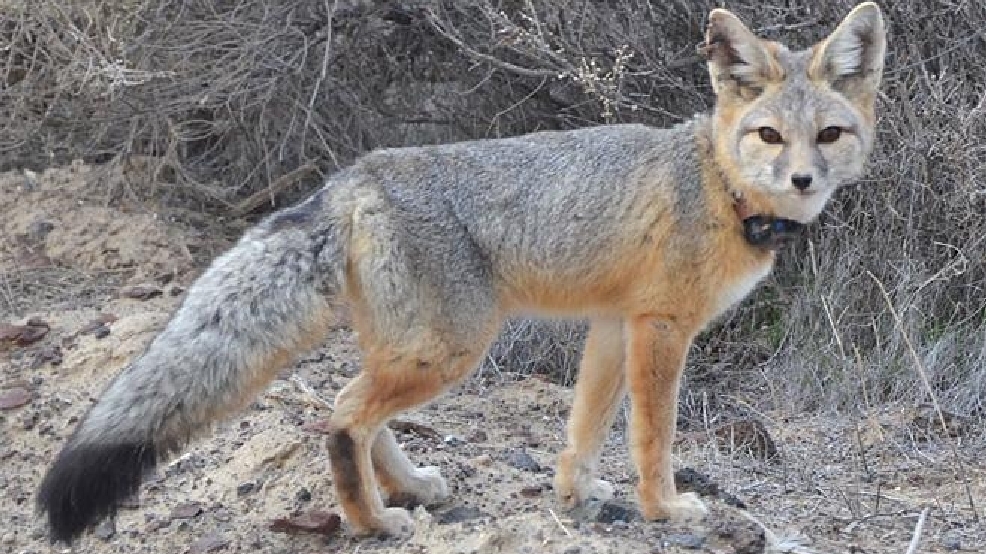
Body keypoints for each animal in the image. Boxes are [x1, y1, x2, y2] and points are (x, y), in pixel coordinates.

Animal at [36, 2, 886, 544]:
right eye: (769, 136)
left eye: (829, 135)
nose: (803, 179)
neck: (717, 185)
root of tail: (354, 175)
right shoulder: (661, 328)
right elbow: (652, 436)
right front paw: (664, 509)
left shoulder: (614, 322)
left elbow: (584, 426)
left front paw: (576, 493)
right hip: (451, 349)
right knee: (344, 414)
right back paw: (372, 522)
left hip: (412, 346)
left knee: (355, 408)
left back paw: (408, 488)